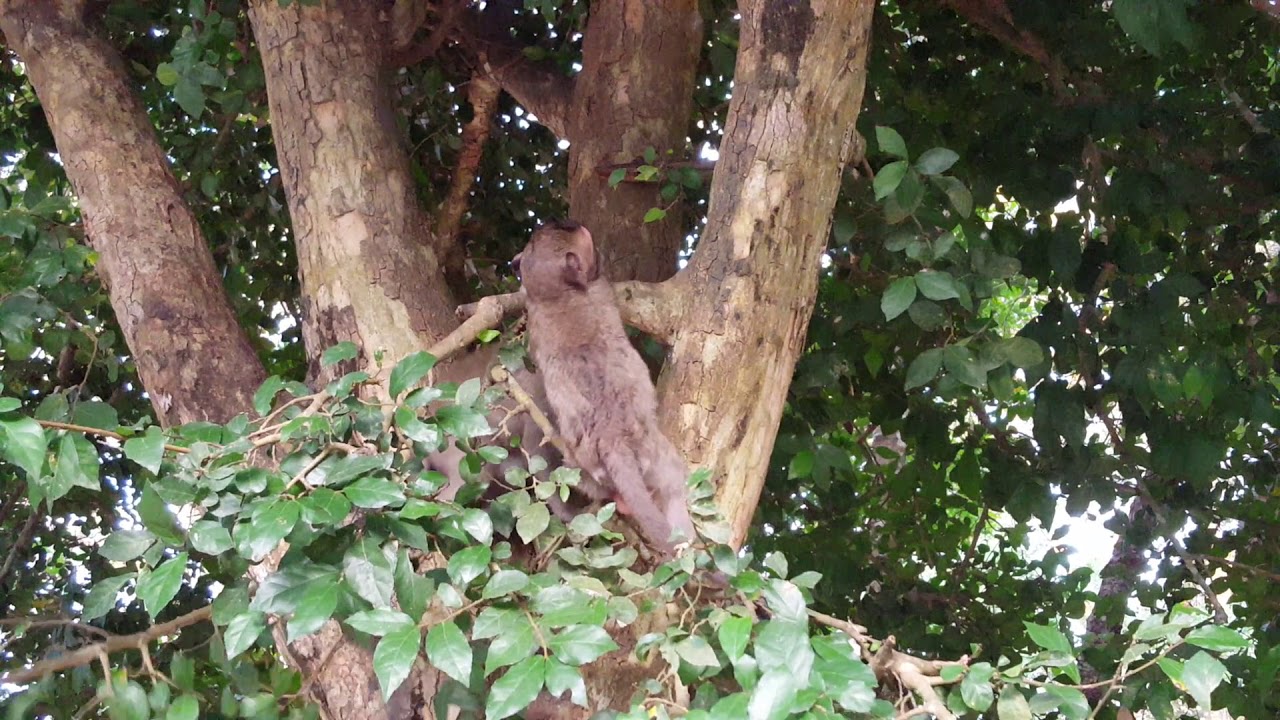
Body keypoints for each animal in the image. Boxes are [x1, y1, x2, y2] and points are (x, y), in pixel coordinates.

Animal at [512, 219, 696, 555]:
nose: (572, 222)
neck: (558, 295)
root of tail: (615, 440)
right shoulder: (601, 289)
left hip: (584, 473)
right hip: (656, 456)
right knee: (674, 485)